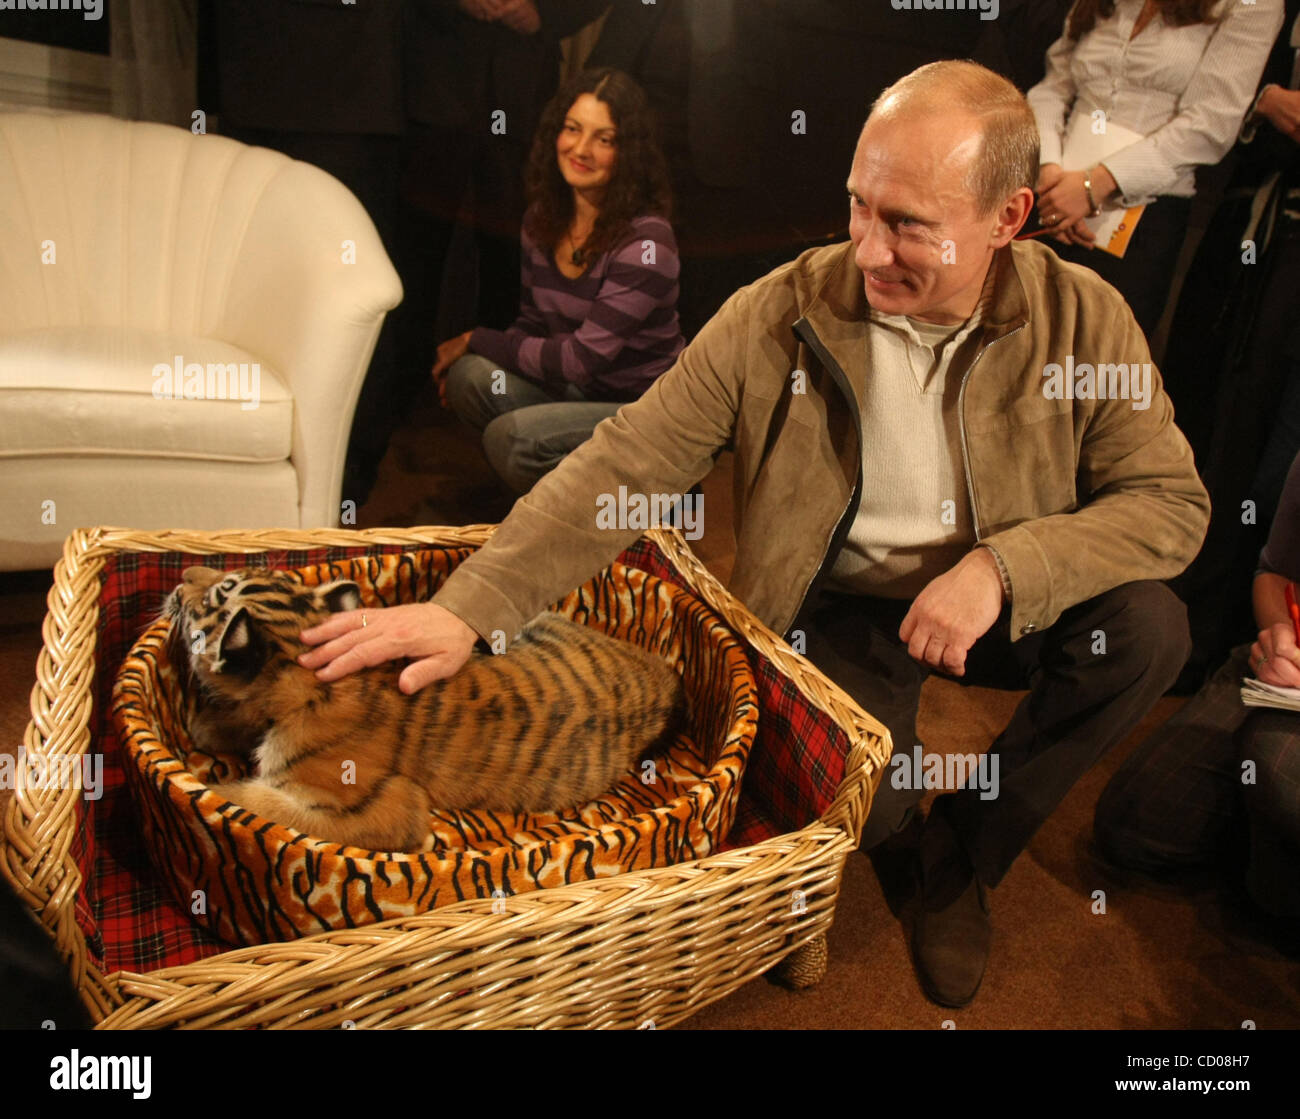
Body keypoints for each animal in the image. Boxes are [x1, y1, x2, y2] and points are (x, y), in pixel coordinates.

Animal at [163, 565, 686, 852]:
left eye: (217, 592)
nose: (181, 578)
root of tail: (663, 677)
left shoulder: (384, 809)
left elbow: (260, 803)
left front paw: (212, 783)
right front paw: (207, 724)